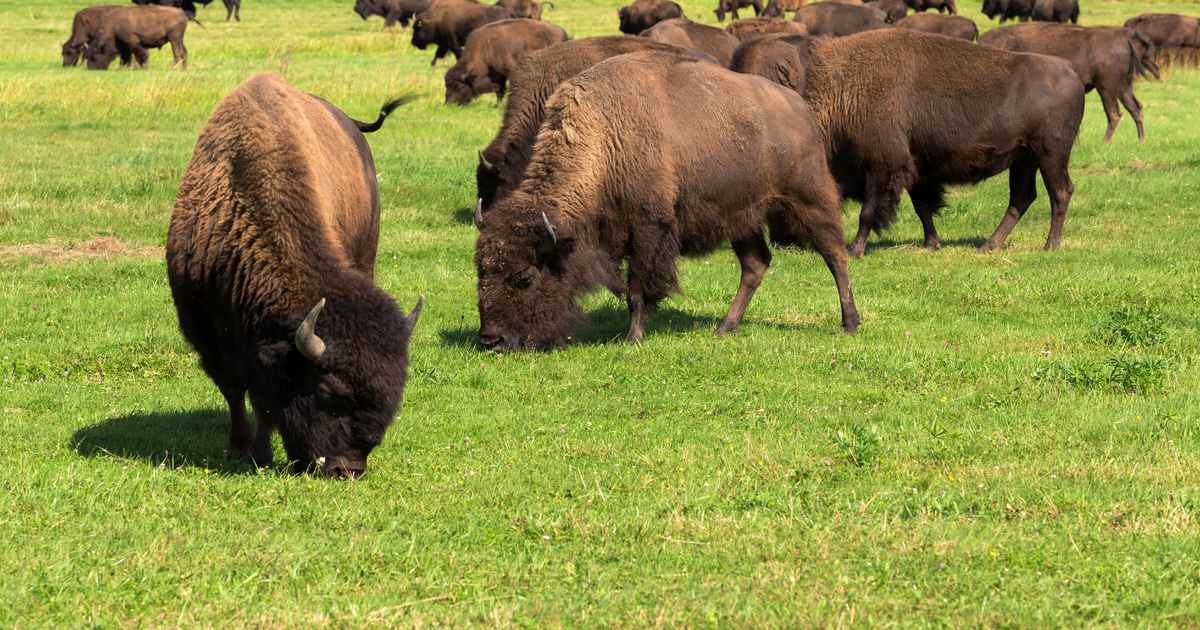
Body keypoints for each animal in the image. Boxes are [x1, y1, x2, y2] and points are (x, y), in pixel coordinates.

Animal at [166, 73, 422, 480]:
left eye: (393, 399)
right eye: (327, 393)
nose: (347, 469)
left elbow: (264, 402)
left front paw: (258, 453)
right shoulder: (208, 335)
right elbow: (234, 390)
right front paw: (242, 449)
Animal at [474, 50, 860, 352]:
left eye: (524, 277)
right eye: (481, 269)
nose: (491, 341)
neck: (605, 140)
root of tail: (801, 109)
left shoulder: (650, 228)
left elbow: (637, 288)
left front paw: (632, 337)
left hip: (807, 199)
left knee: (834, 253)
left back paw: (850, 323)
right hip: (740, 217)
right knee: (755, 264)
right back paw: (724, 328)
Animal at [801, 29, 1084, 256]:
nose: (796, 243)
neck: (845, 94)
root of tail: (1071, 71)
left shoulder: (882, 167)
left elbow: (867, 212)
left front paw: (854, 250)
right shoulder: (914, 169)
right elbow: (922, 207)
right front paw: (931, 244)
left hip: (1050, 154)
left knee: (1060, 192)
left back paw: (1050, 246)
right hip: (1024, 158)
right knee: (1021, 198)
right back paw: (987, 246)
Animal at [980, 22, 1156, 142]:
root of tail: (1126, 40)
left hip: (1107, 87)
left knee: (1114, 113)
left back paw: (1104, 142)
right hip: (1123, 87)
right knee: (1135, 108)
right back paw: (1141, 139)